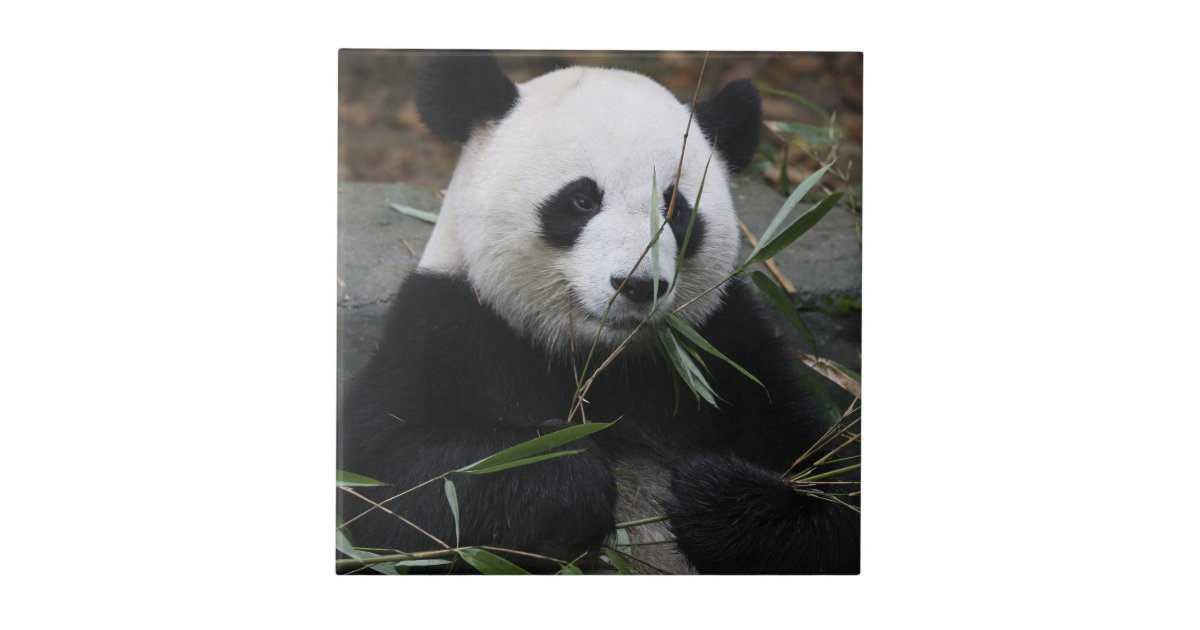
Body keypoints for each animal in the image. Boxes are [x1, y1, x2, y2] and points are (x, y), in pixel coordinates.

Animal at [338, 53, 859, 574]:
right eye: (582, 200)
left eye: (674, 208)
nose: (639, 284)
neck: (601, 361)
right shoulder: (451, 326)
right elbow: (397, 486)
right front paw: (568, 475)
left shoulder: (725, 346)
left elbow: (833, 482)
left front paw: (712, 497)